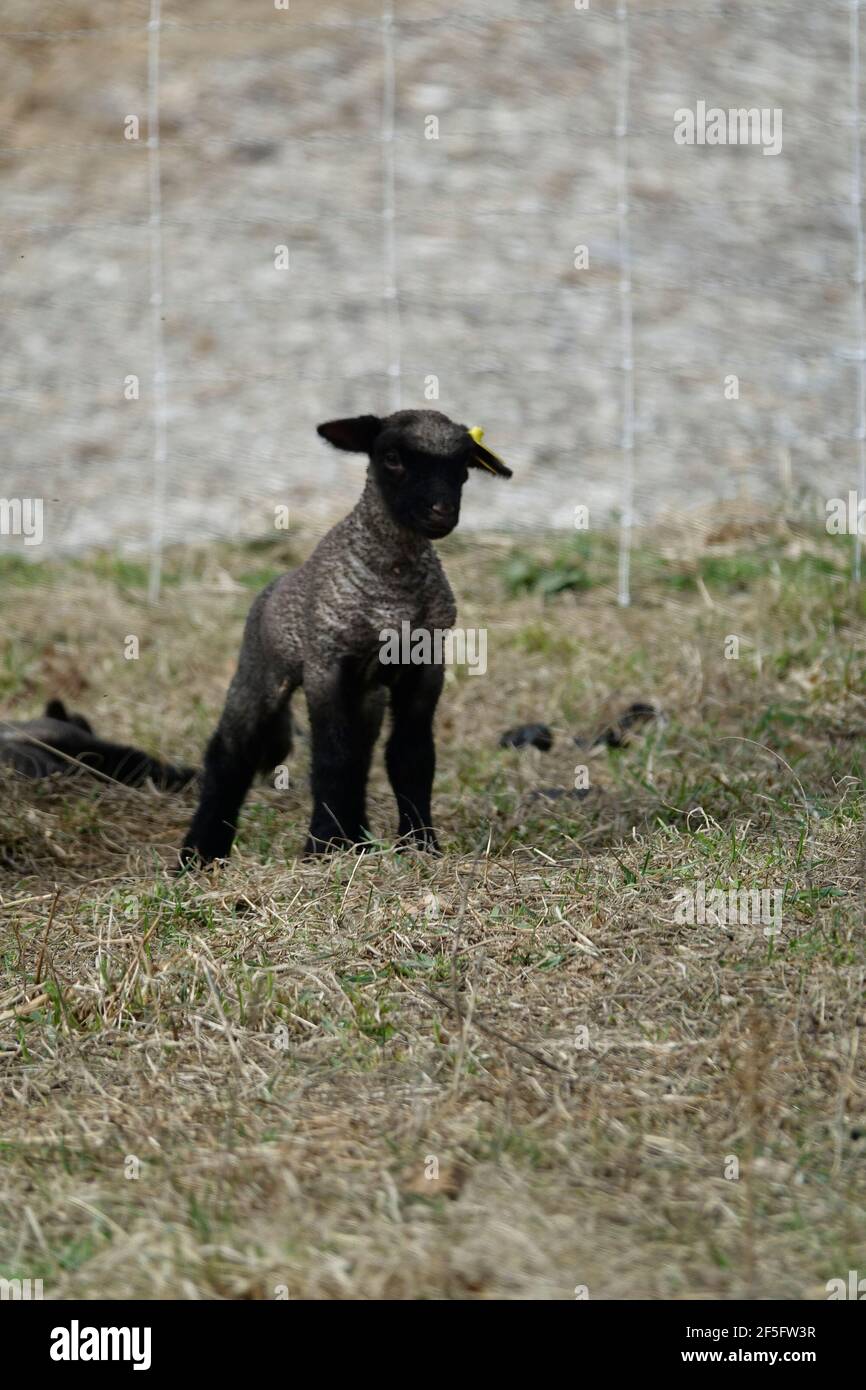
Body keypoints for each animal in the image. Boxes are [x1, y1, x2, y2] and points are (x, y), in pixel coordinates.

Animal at [181, 408, 512, 865]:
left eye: (463, 465)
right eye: (392, 457)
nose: (441, 511)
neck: (394, 584)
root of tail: (273, 585)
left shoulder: (424, 667)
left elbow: (410, 758)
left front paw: (420, 845)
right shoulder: (326, 665)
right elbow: (331, 760)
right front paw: (321, 848)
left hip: (367, 695)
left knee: (360, 755)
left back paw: (357, 840)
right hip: (260, 672)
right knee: (230, 754)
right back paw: (198, 855)